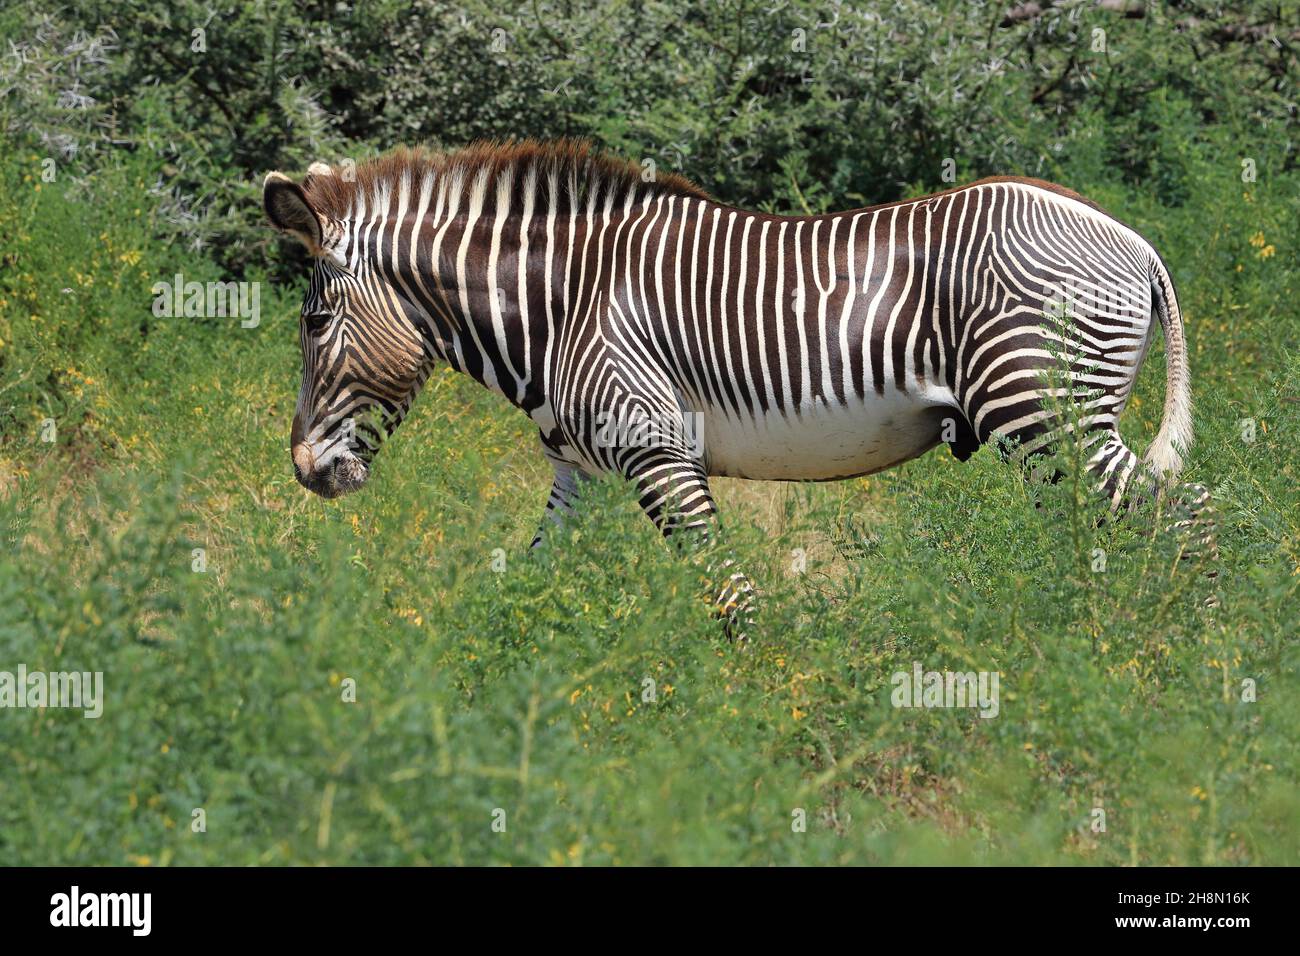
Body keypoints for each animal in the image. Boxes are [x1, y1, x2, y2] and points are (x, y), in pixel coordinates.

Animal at [263, 140, 1217, 637]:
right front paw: (479, 686)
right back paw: (1092, 631)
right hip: (1050, 428)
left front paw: (762, 702)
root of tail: (1130, 236)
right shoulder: (582, 473)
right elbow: (528, 579)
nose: (305, 470)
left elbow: (729, 591)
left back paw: (1189, 646)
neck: (562, 304)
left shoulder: (655, 449)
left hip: (1051, 416)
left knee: (1188, 514)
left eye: (312, 323)